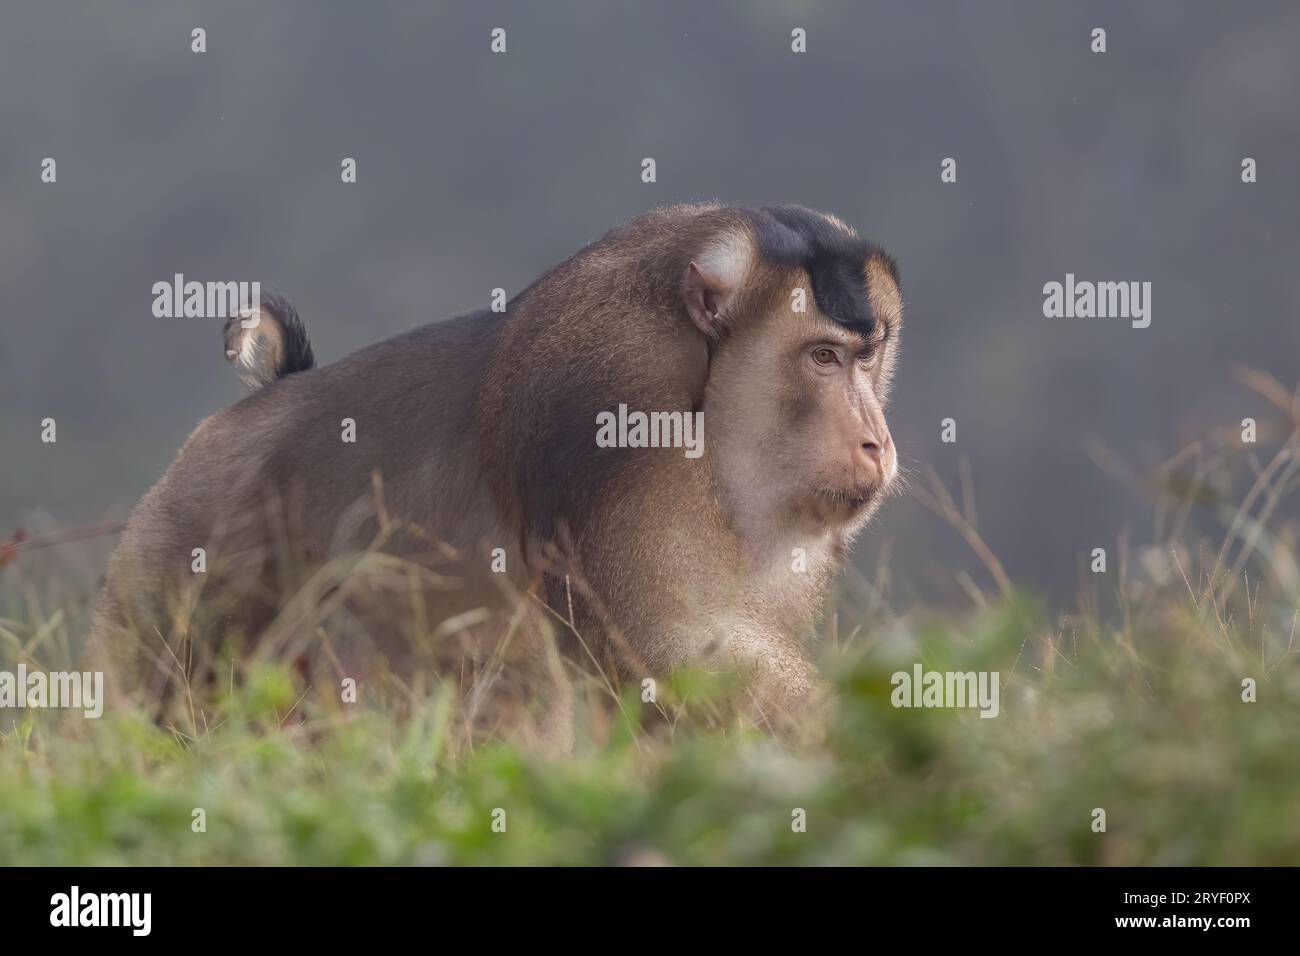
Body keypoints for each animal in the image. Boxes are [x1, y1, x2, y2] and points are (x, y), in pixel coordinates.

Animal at [90, 203, 904, 746]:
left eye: (869, 356)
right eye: (822, 357)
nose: (876, 443)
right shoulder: (619, 395)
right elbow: (673, 638)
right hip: (178, 558)